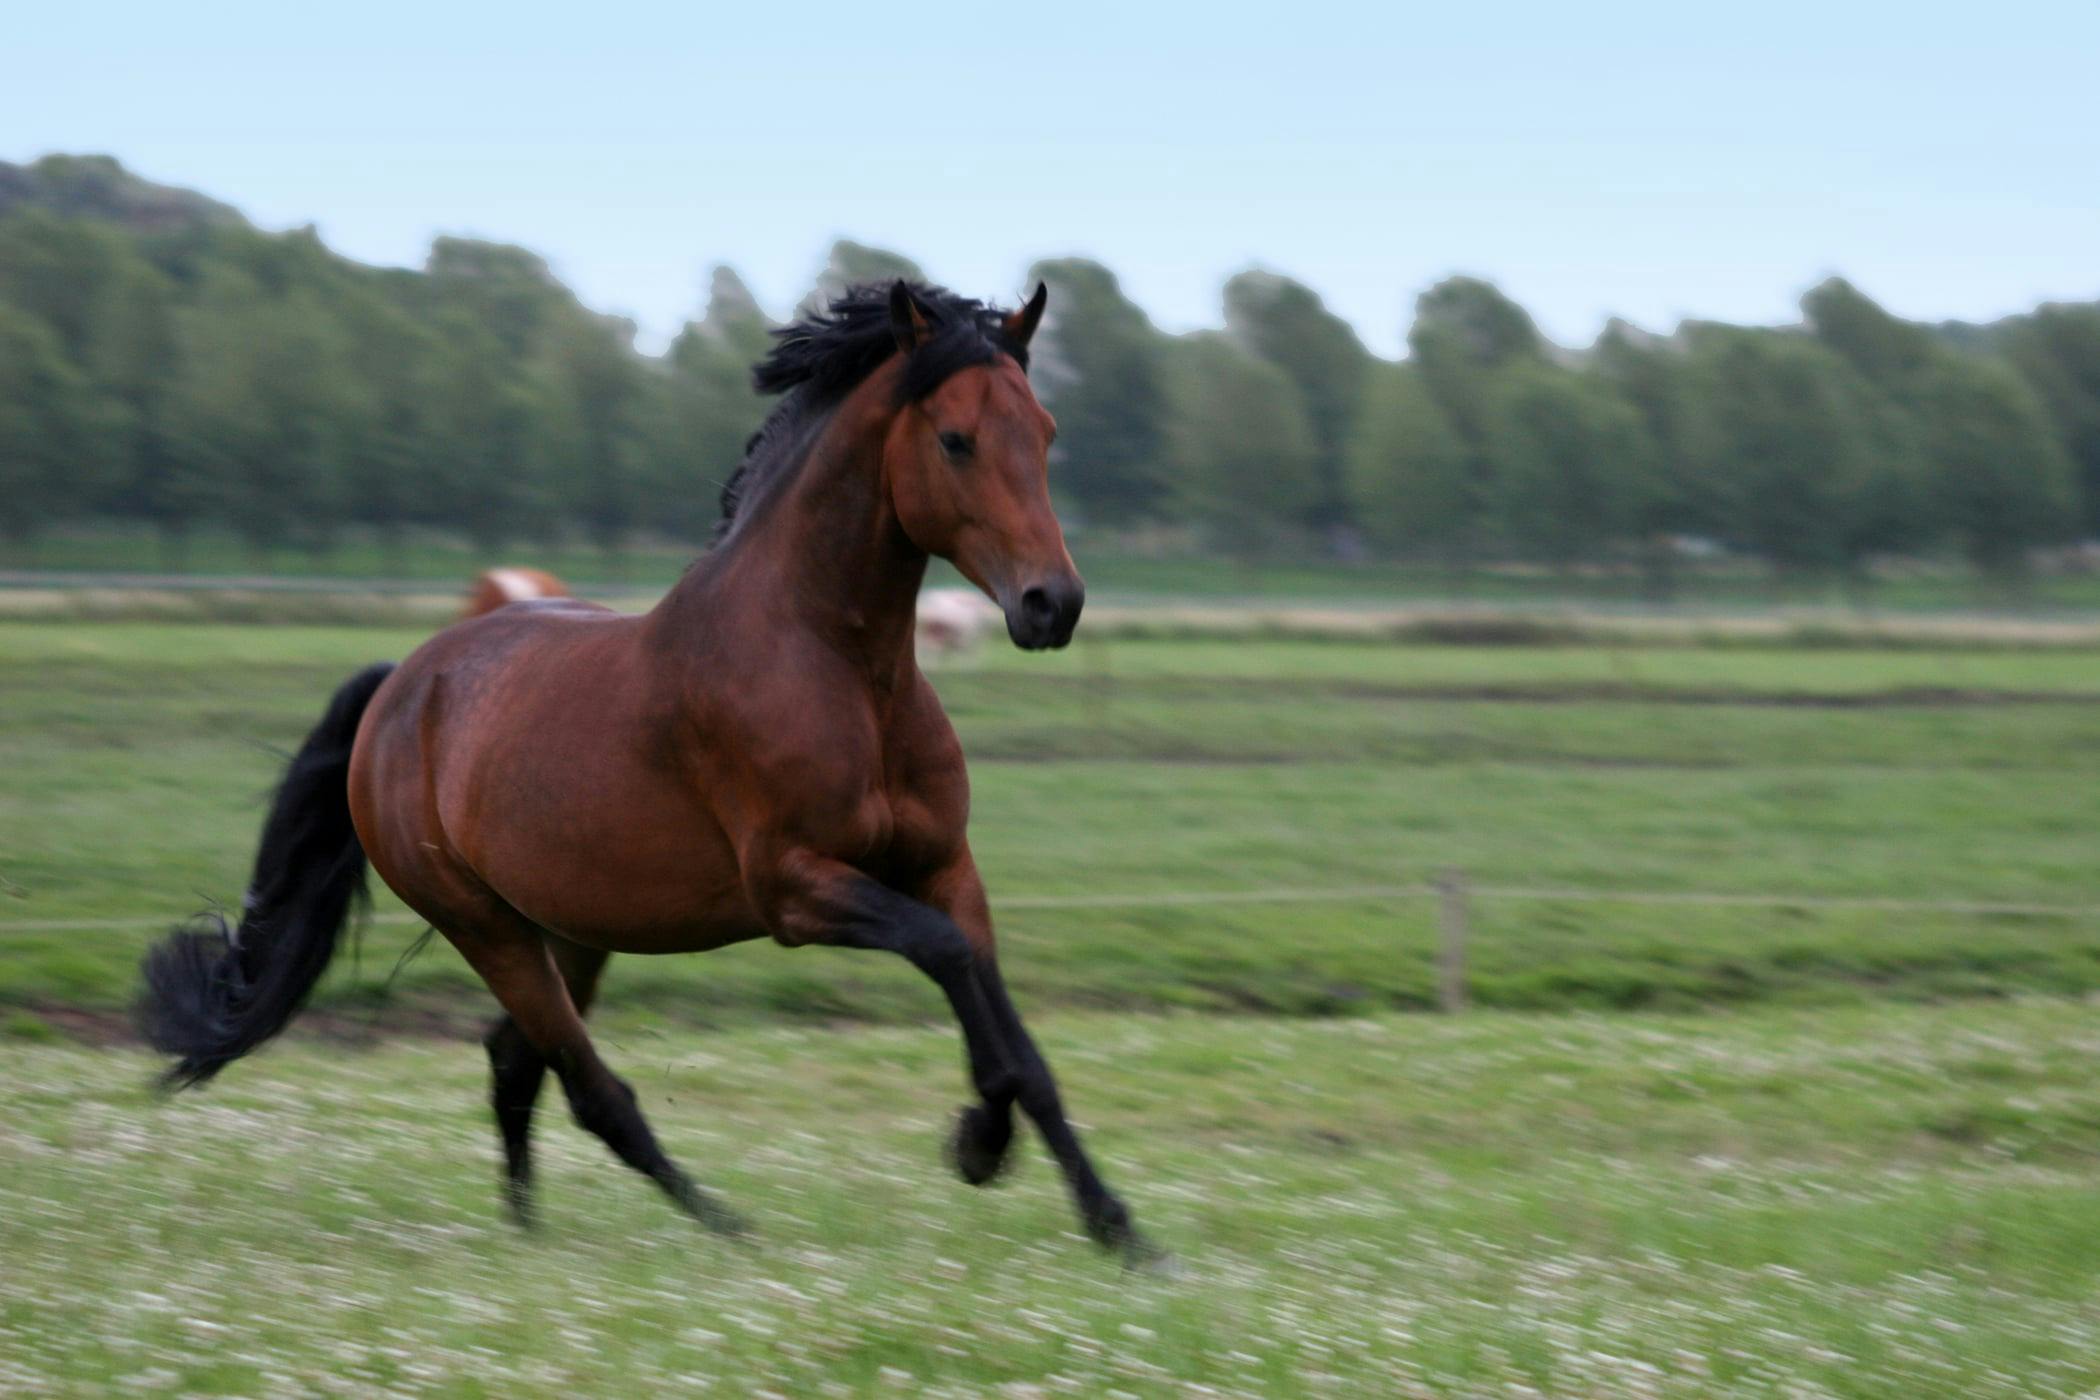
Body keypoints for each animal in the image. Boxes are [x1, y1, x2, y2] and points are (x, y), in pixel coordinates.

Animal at [138, 281, 1157, 1263]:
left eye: (1046, 432)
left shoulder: (945, 866)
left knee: (515, 1064)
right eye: (955, 439)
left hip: (575, 928)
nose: (1052, 604)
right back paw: (725, 1230)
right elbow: (948, 959)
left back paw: (531, 1233)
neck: (841, 671)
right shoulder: (795, 890)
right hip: (486, 929)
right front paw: (981, 1146)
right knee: (587, 1087)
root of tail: (400, 689)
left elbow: (1012, 1031)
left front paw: (1115, 1227)